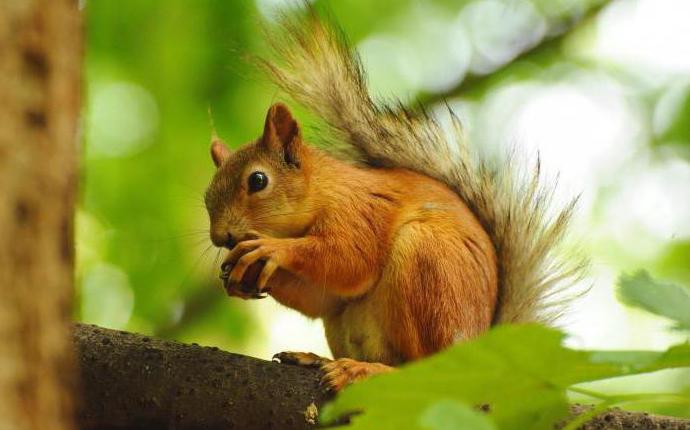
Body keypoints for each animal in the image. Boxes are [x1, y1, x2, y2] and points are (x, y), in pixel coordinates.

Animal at [202, 6, 584, 392]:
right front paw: (240, 276)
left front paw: (271, 249)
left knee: (424, 369)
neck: (323, 191)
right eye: (206, 196)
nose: (220, 237)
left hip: (427, 268)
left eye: (258, 180)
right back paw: (318, 359)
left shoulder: (360, 211)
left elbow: (349, 260)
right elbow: (321, 297)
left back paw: (364, 370)